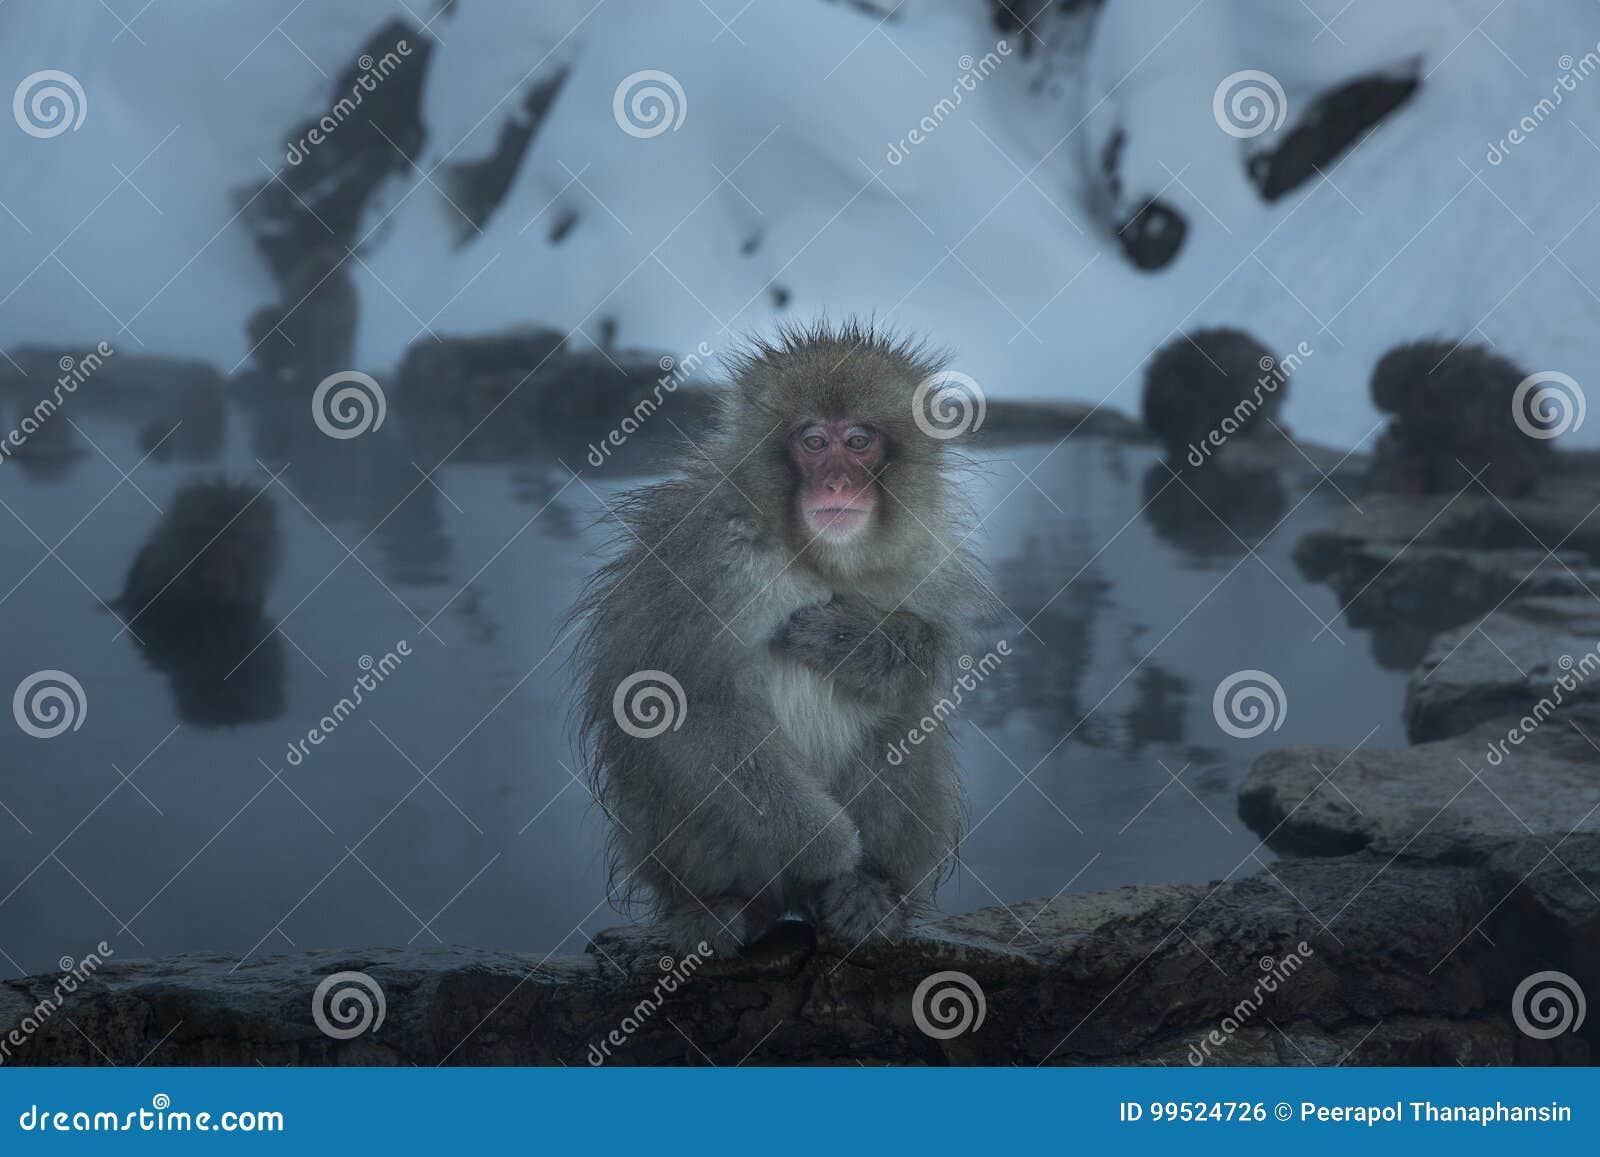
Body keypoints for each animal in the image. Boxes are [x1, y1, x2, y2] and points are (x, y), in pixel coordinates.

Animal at [572, 322, 987, 956]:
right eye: (813, 441)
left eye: (859, 440)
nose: (838, 480)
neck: (812, 555)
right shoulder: (708, 556)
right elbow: (674, 699)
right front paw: (830, 844)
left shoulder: (925, 551)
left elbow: (930, 648)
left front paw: (852, 637)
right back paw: (722, 908)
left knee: (904, 718)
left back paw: (870, 891)